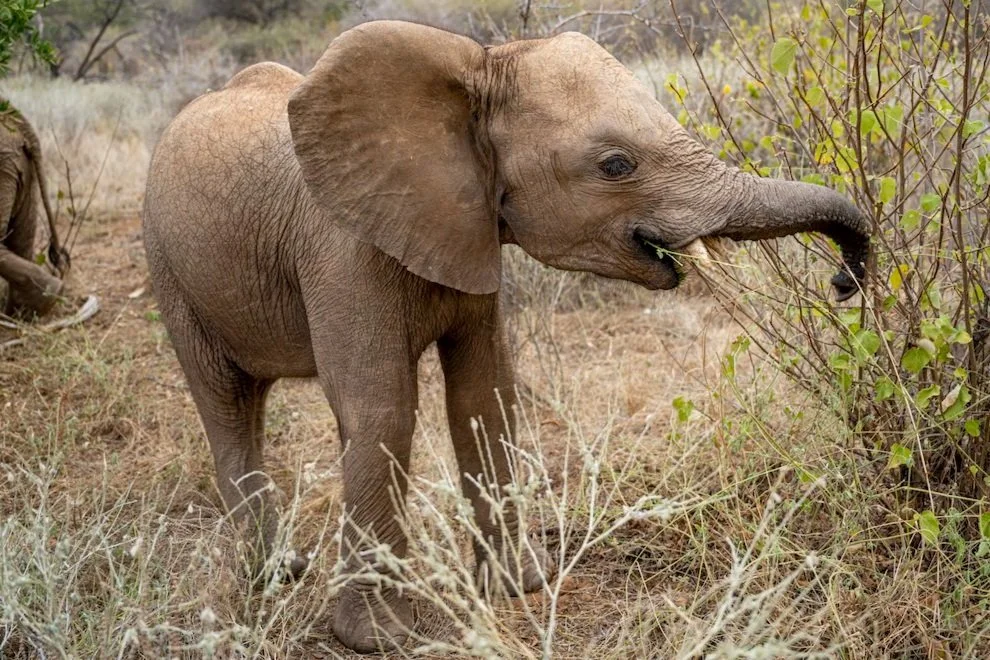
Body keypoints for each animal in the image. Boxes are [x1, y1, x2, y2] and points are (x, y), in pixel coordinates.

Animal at [142, 20, 869, 653]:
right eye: (615, 165)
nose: (842, 281)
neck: (476, 68)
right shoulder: (340, 251)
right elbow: (381, 413)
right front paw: (381, 639)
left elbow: (484, 394)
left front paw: (520, 586)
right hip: (166, 266)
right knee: (228, 407)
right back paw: (270, 578)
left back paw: (284, 569)